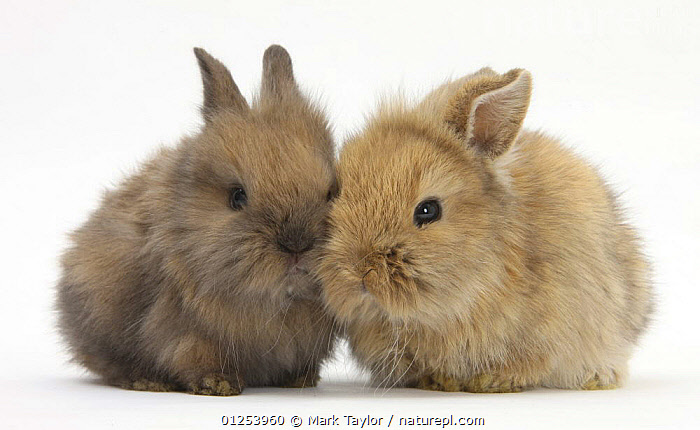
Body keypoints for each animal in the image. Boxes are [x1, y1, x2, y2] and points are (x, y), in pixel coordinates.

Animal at [56, 45, 339, 396]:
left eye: (331, 192)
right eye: (237, 196)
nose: (297, 245)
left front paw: (300, 379)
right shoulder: (190, 336)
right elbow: (197, 358)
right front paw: (219, 384)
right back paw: (147, 381)